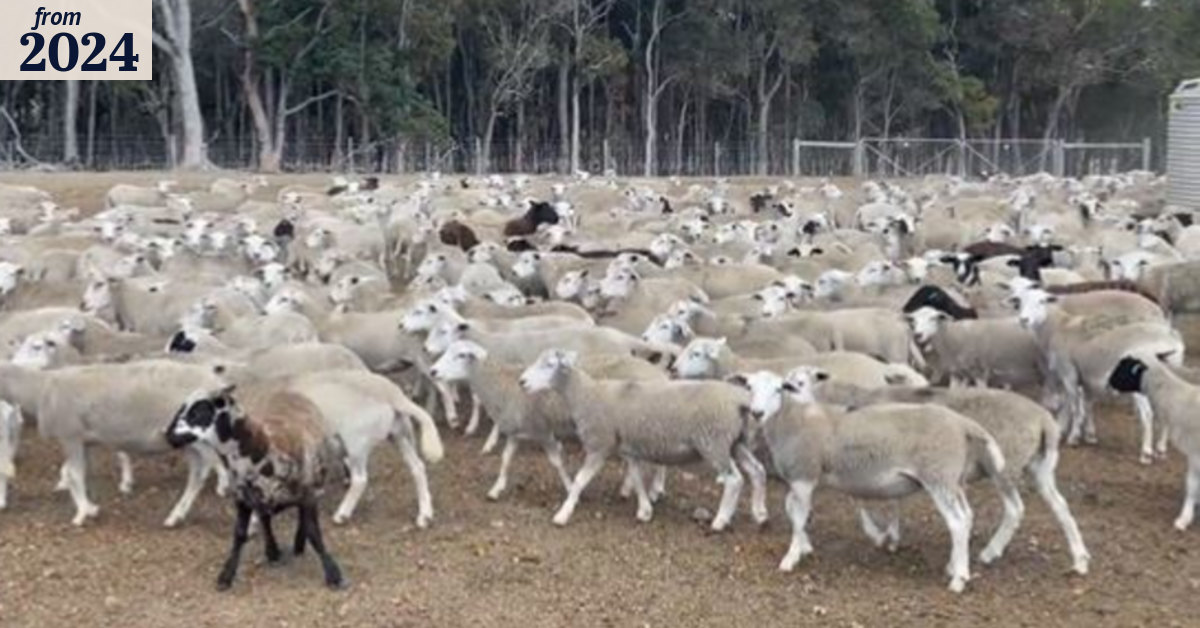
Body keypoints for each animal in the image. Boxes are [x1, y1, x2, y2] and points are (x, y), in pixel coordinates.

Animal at [165, 385, 347, 591]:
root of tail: (289, 391)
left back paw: (297, 544)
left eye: (199, 411)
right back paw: (272, 551)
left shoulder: (307, 495)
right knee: (266, 520)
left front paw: (334, 575)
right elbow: (239, 535)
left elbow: (315, 534)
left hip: (312, 483)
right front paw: (226, 575)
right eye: (181, 410)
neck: (262, 449)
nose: (169, 435)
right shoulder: (243, 499)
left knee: (300, 519)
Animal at [518, 349, 765, 529]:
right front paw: (645, 510)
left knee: (734, 480)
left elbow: (579, 480)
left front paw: (563, 513)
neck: (587, 395)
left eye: (549, 364)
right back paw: (760, 513)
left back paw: (720, 521)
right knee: (757, 470)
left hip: (714, 442)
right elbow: (636, 476)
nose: (522, 382)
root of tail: (740, 400)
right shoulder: (627, 448)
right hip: (737, 442)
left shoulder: (600, 443)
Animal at [730, 369, 1006, 592]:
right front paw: (805, 546)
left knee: (957, 522)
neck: (791, 420)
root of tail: (962, 423)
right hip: (953, 480)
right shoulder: (805, 478)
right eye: (749, 387)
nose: (757, 413)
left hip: (938, 476)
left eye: (779, 389)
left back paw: (959, 579)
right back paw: (954, 566)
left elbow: (797, 516)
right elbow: (792, 509)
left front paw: (791, 557)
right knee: (967, 516)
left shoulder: (804, 474)